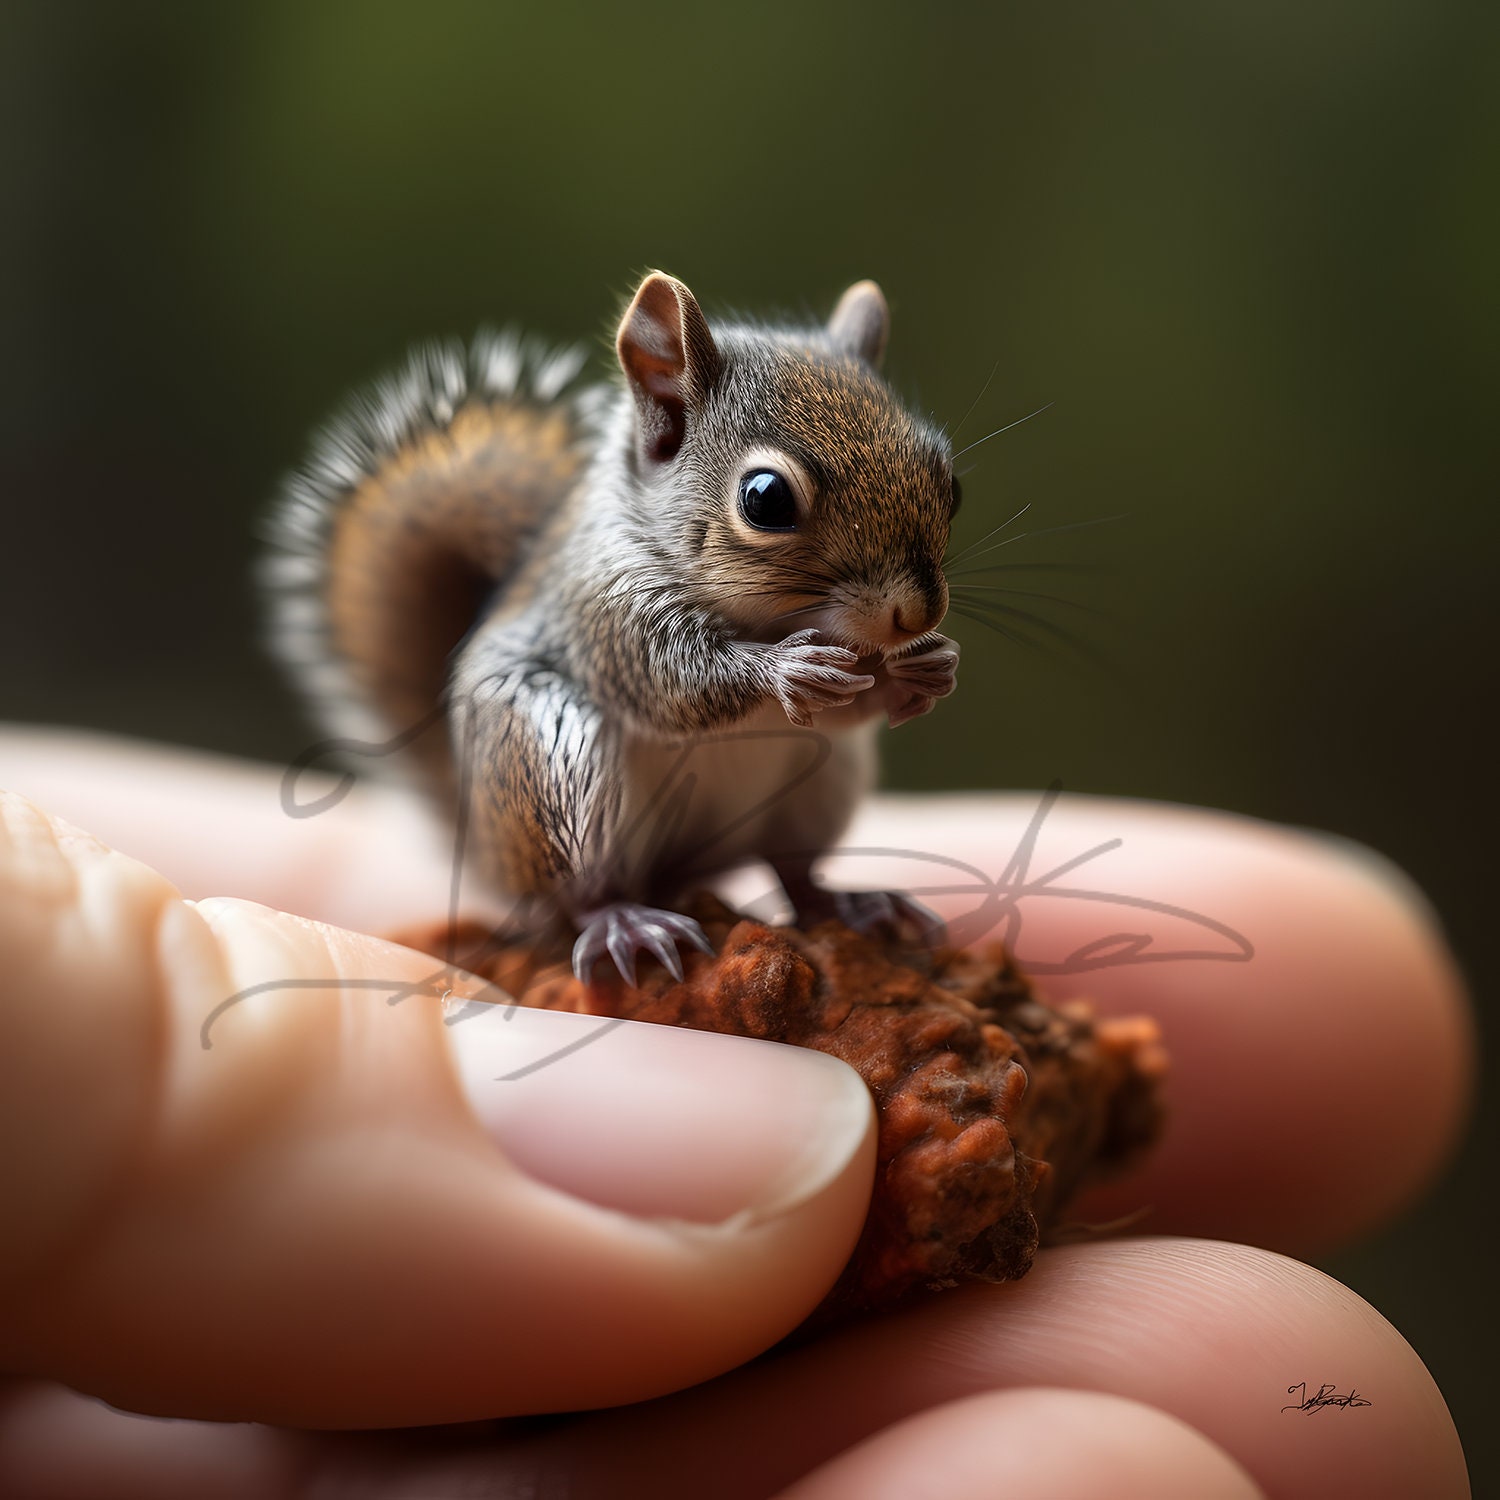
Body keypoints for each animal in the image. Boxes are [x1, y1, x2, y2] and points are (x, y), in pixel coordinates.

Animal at [263, 272, 962, 984]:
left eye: (949, 481)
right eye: (765, 499)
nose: (915, 616)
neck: (764, 619)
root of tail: (484, 850)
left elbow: (852, 708)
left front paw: (926, 668)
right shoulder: (604, 609)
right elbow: (669, 684)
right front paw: (783, 670)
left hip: (820, 785)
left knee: (792, 869)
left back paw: (850, 903)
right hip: (551, 760)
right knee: (580, 892)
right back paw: (627, 923)